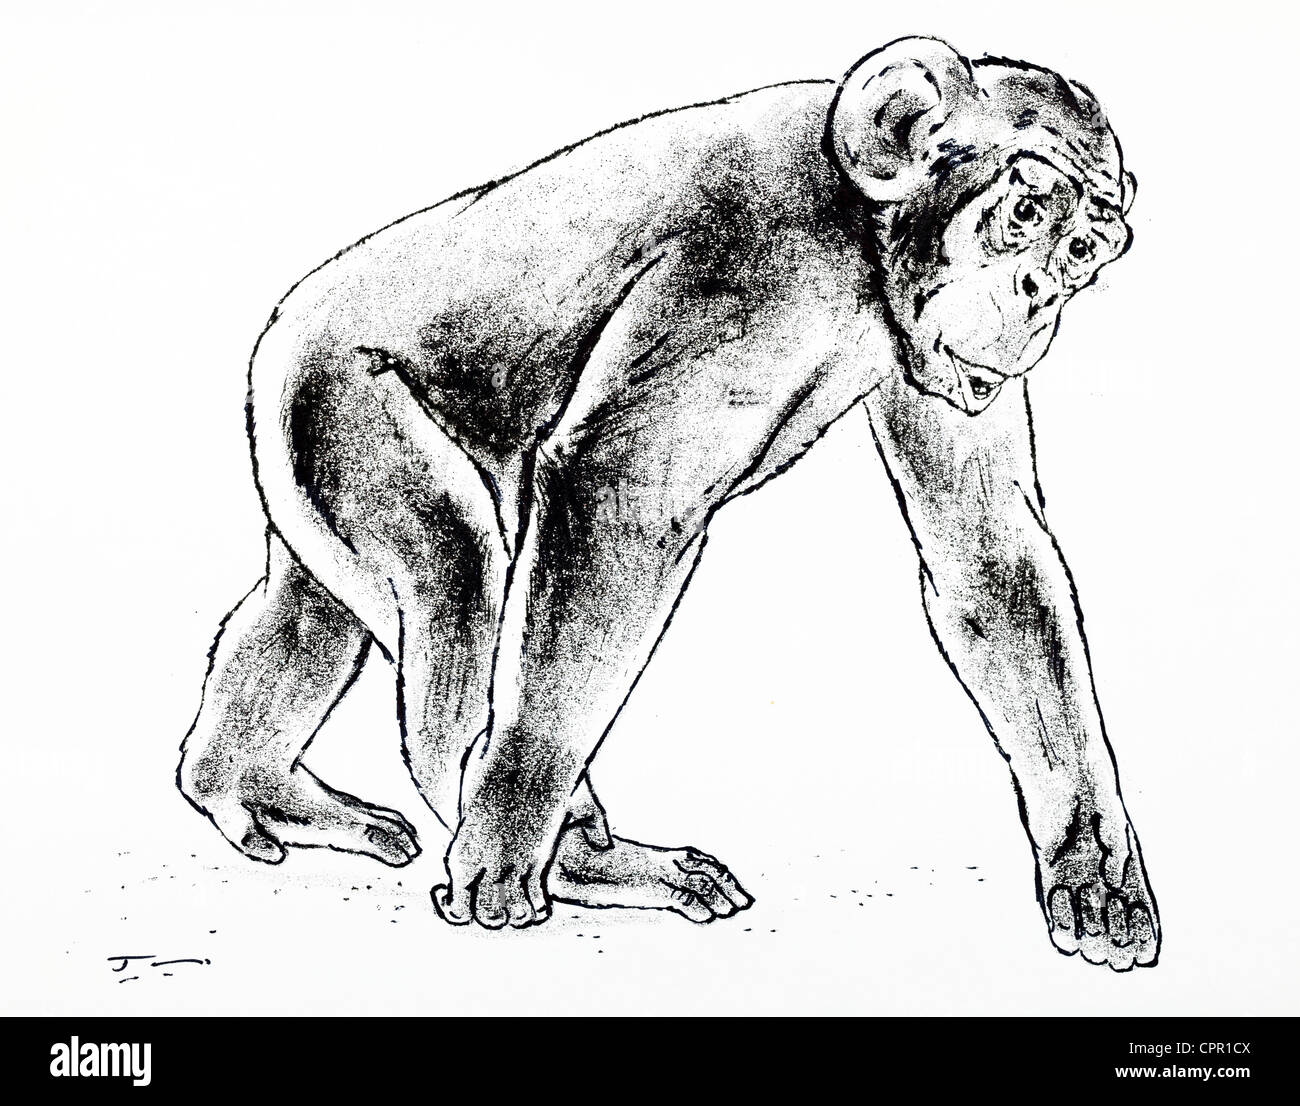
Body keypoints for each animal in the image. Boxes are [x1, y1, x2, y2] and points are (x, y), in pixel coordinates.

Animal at [178, 36, 1159, 971]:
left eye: (1083, 253)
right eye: (1024, 215)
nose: (1039, 299)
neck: (862, 229)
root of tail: (282, 328)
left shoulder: (943, 369)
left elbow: (989, 563)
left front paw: (1093, 866)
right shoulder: (748, 271)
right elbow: (620, 497)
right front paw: (506, 841)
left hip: (303, 464)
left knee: (307, 612)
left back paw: (252, 786)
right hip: (336, 396)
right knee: (453, 586)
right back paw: (573, 852)